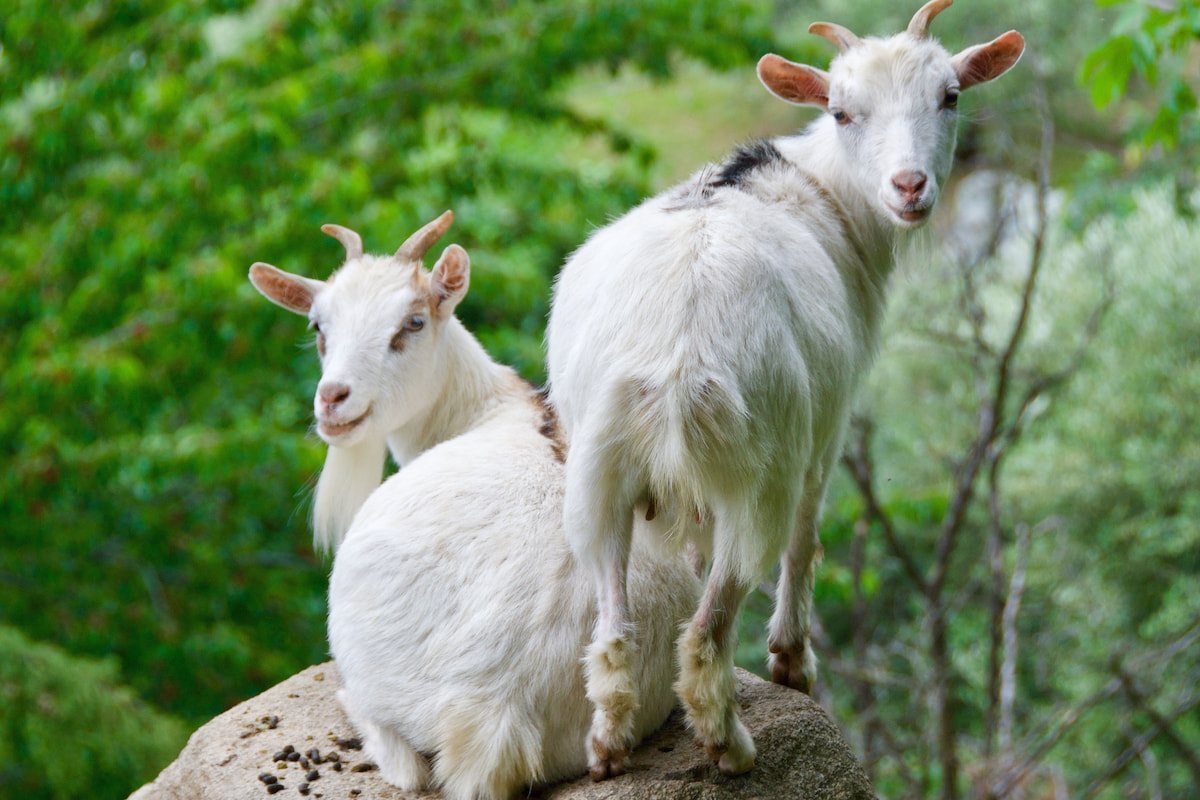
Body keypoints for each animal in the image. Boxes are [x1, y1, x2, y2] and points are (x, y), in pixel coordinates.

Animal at [544, 0, 1025, 778]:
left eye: (950, 96)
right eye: (841, 111)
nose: (909, 187)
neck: (820, 190)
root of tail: (677, 346)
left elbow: (692, 558)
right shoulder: (828, 424)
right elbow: (808, 537)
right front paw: (791, 664)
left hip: (596, 466)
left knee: (615, 618)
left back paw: (610, 744)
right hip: (762, 462)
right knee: (715, 616)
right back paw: (730, 745)